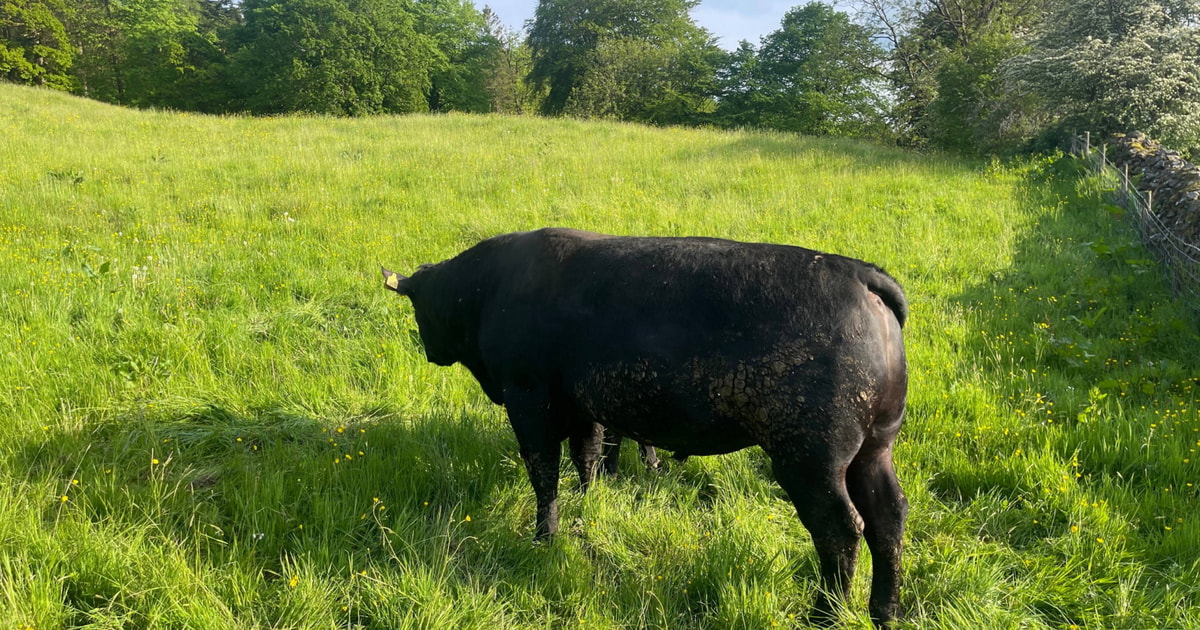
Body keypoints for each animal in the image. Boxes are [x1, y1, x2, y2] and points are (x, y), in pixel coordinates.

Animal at [382, 227, 909, 626]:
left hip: (809, 460)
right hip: (872, 450)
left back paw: (826, 615)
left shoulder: (528, 401)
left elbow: (543, 473)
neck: (492, 289)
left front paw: (545, 537)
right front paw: (591, 500)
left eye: (418, 308)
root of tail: (859, 273)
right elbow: (587, 455)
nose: (430, 351)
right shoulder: (584, 406)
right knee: (888, 517)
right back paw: (883, 611)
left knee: (841, 530)